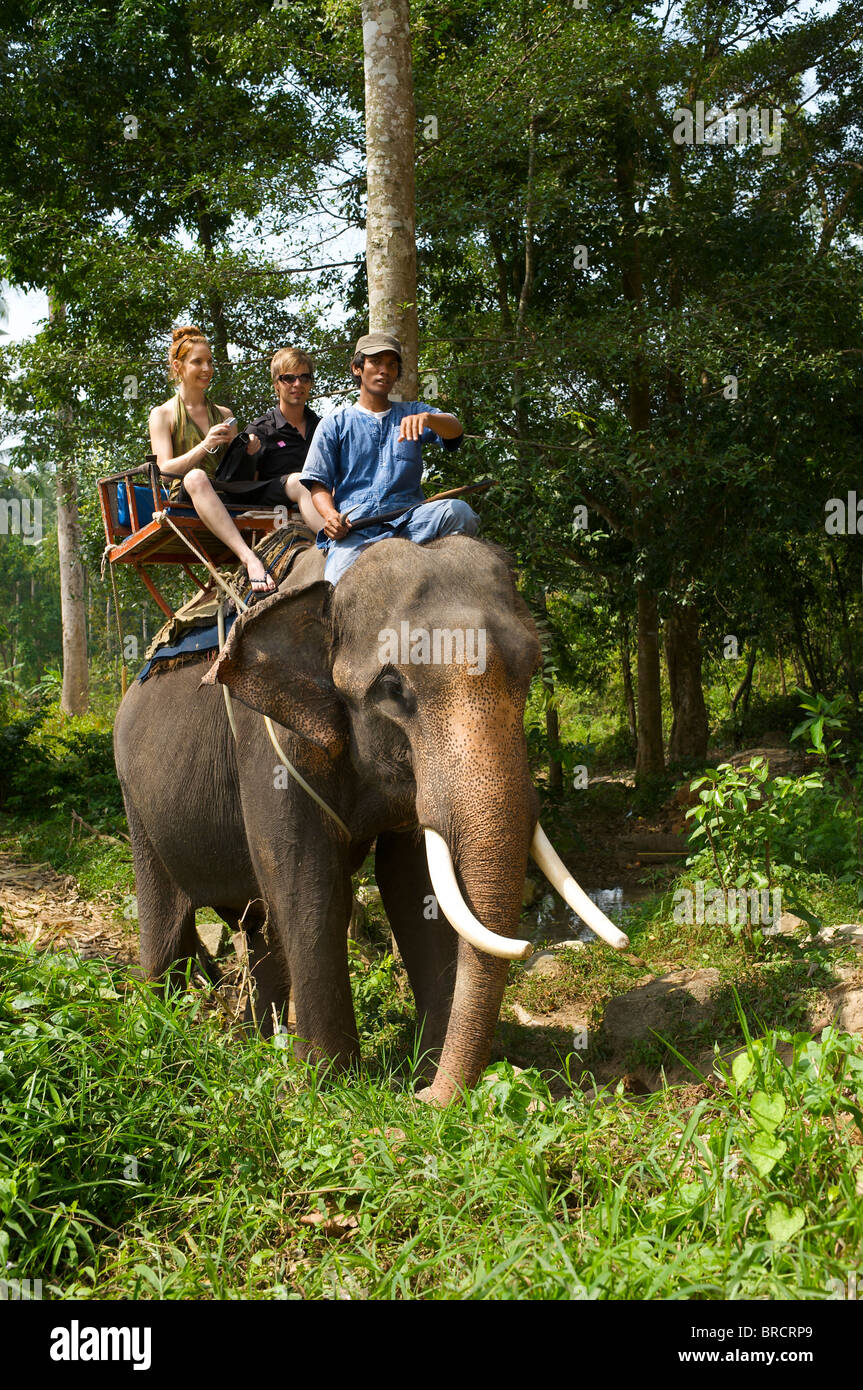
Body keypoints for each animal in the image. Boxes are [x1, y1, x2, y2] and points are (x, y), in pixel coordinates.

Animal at [113, 534, 626, 1105]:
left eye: (532, 670)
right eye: (393, 688)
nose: (422, 1100)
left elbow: (413, 886)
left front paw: (423, 1069)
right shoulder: (268, 740)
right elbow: (305, 881)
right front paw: (329, 1087)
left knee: (257, 926)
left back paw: (255, 1044)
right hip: (135, 801)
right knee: (166, 923)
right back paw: (164, 1030)